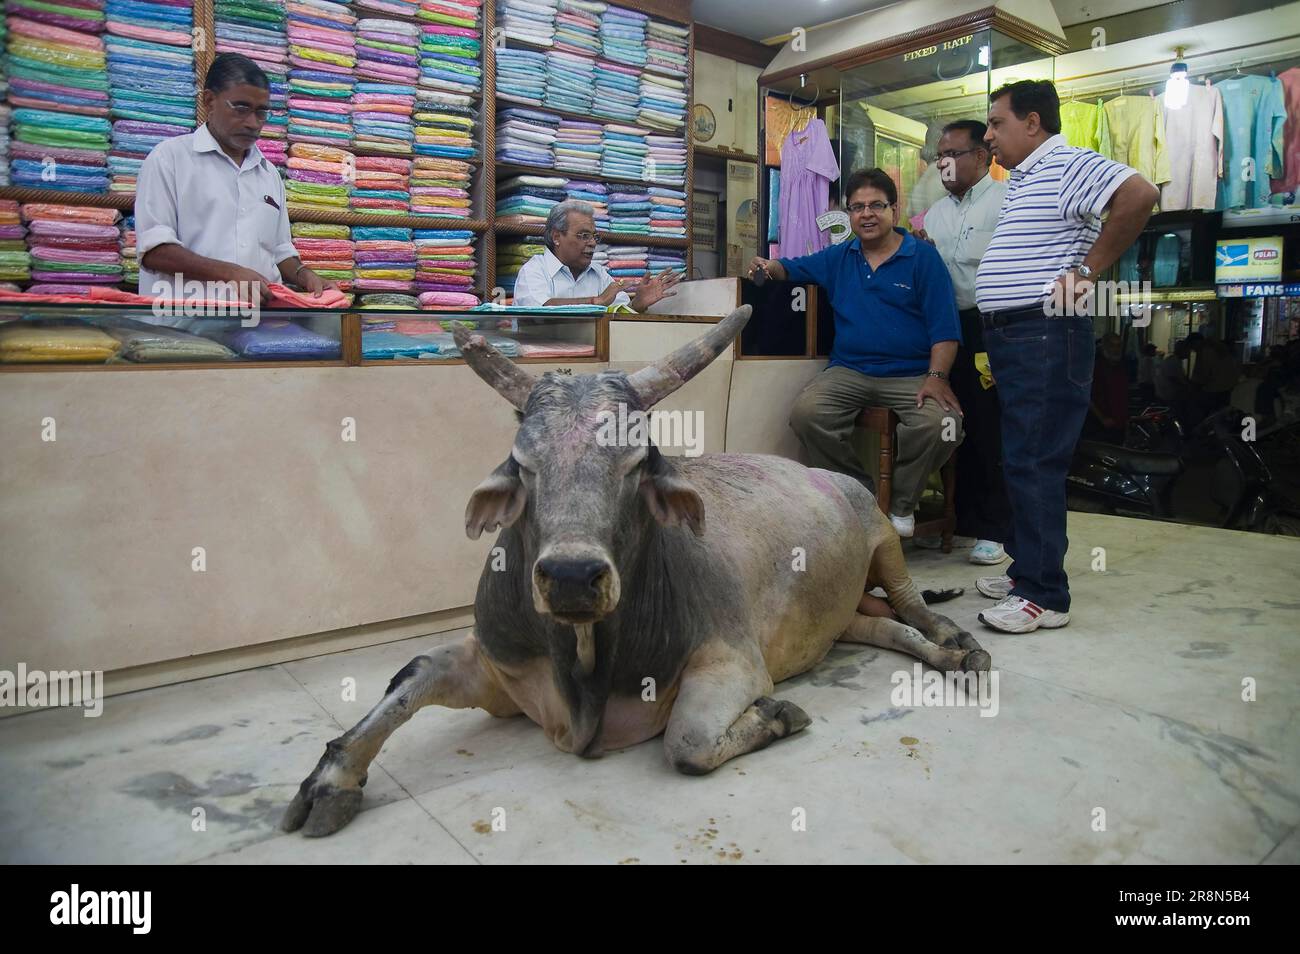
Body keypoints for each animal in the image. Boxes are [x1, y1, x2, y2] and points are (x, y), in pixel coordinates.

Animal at [282, 306, 990, 837]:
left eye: (637, 461)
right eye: (523, 464)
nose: (571, 576)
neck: (583, 667)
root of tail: (829, 473)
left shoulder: (732, 660)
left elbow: (689, 742)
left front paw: (778, 715)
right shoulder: (498, 665)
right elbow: (410, 679)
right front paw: (331, 779)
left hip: (880, 534)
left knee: (912, 603)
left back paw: (962, 647)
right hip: (839, 615)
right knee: (886, 627)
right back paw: (944, 657)